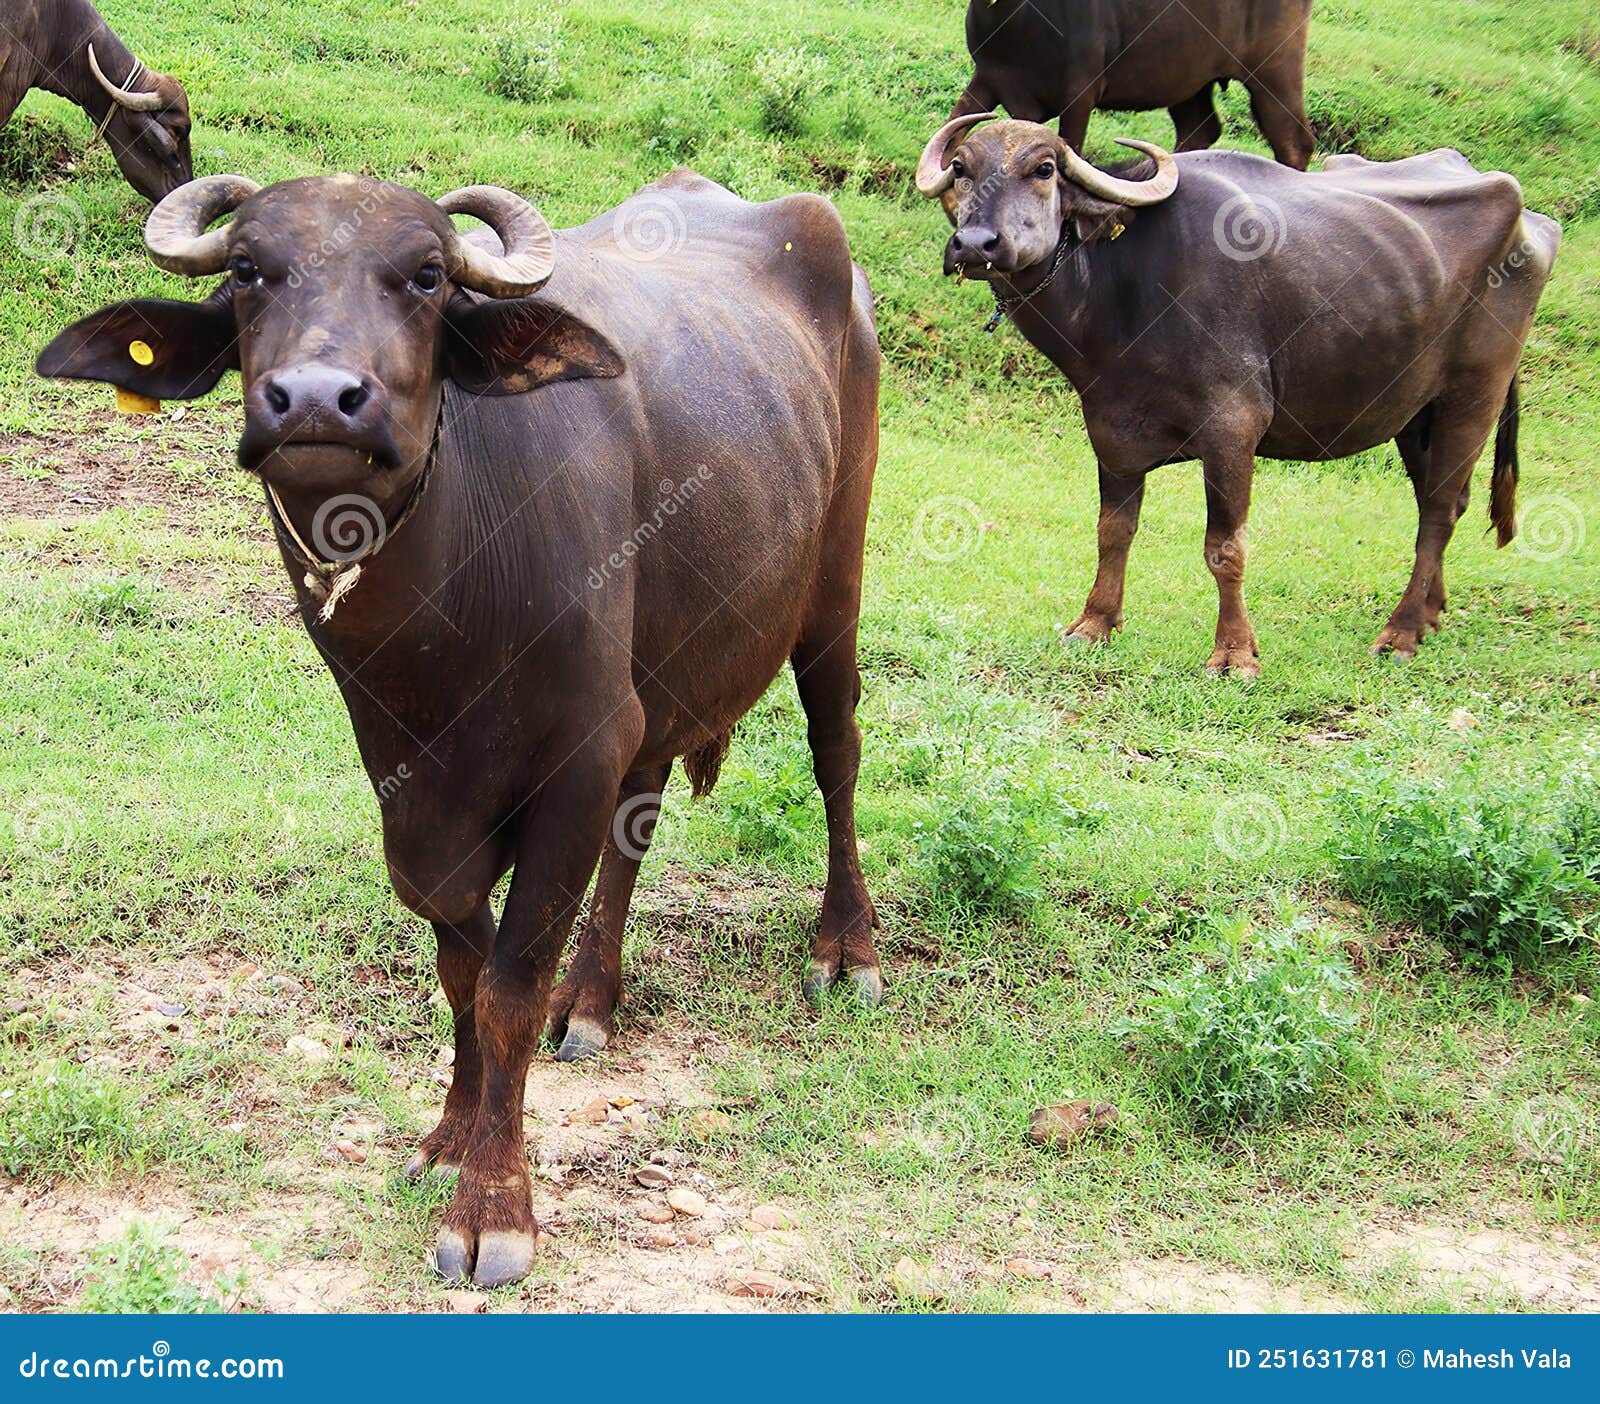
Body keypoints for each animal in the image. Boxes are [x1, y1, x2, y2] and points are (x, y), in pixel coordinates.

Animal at [38, 168, 882, 1284]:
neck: (448, 618)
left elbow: (509, 985)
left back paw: (847, 948)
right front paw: (448, 1136)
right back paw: (593, 997)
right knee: (645, 807)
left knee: (837, 755)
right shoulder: (413, 795)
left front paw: (494, 1205)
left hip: (833, 588)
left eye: (428, 275)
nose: (317, 400)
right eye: (250, 268)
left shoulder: (575, 759)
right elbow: (460, 969)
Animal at [919, 114, 1559, 673]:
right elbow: (1112, 530)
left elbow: (1224, 547)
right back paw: (1429, 614)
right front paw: (1096, 622)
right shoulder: (1111, 430)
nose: (975, 244)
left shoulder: (1233, 431)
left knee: (1440, 511)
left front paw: (1234, 653)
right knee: (1442, 500)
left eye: (1045, 169)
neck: (1125, 296)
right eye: (962, 167)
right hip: (1414, 413)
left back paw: (1399, 633)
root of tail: (1533, 221)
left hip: (1472, 395)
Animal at [952, 0, 1315, 170]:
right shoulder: (989, 76)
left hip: (1275, 71)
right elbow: (955, 124)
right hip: (1186, 78)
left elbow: (1072, 151)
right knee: (1200, 127)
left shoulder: (1079, 94)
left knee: (1293, 140)